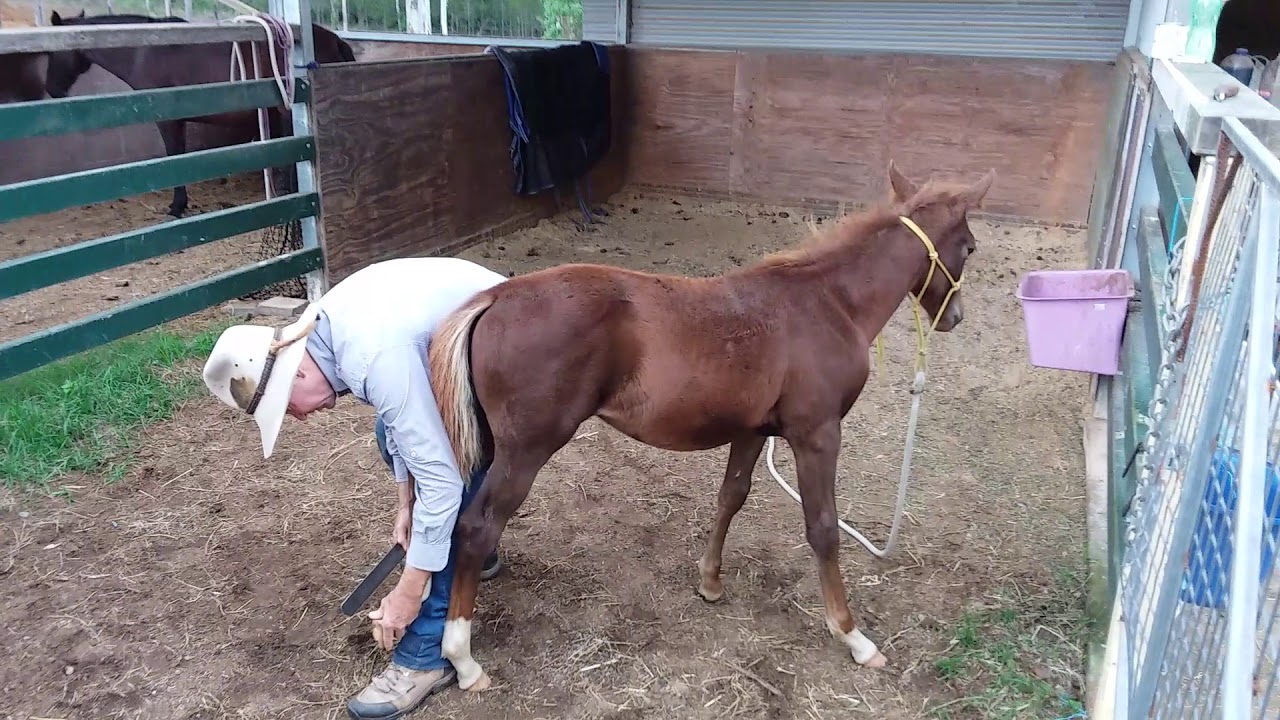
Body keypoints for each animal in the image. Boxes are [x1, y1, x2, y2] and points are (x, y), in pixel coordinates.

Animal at [41, 10, 357, 217]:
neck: (144, 51)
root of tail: (334, 40)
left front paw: (177, 205)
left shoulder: (168, 121)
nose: (51, 89)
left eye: (51, 52)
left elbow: (175, 157)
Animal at [424, 160, 996, 690]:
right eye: (969, 247)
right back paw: (463, 660)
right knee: (475, 526)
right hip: (527, 450)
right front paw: (853, 636)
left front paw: (711, 582)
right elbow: (823, 528)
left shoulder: (751, 431)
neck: (829, 303)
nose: (955, 317)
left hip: (493, 446)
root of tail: (495, 298)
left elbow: (731, 497)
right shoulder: (817, 433)